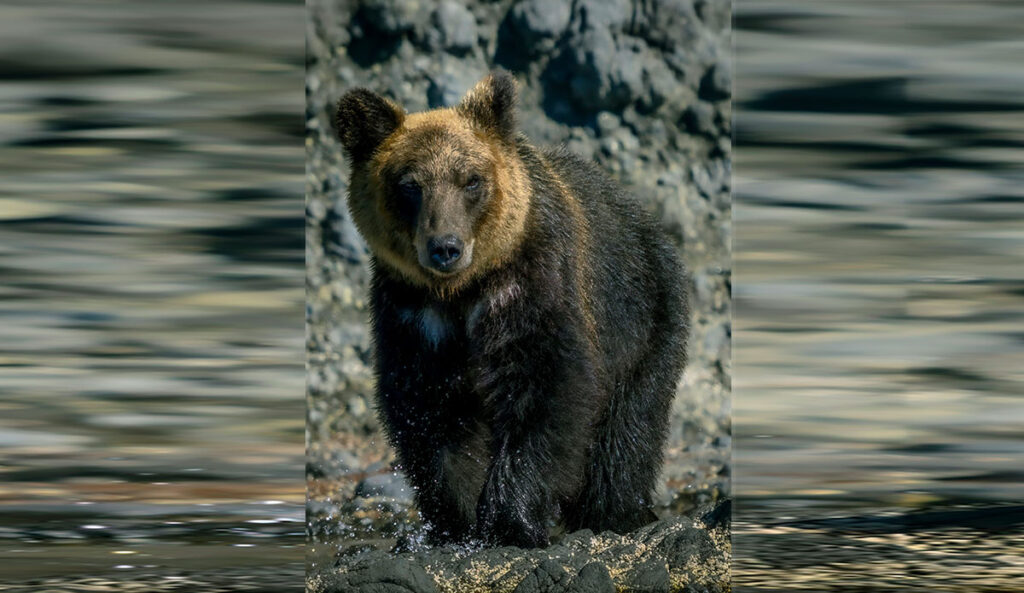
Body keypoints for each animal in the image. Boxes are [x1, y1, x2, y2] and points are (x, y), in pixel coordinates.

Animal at [334, 71, 688, 548]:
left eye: (471, 180)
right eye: (409, 185)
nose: (445, 247)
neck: (462, 291)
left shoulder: (533, 284)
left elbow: (544, 386)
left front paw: (510, 520)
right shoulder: (412, 313)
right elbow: (428, 409)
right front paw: (455, 521)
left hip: (644, 318)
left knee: (626, 433)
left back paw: (615, 513)